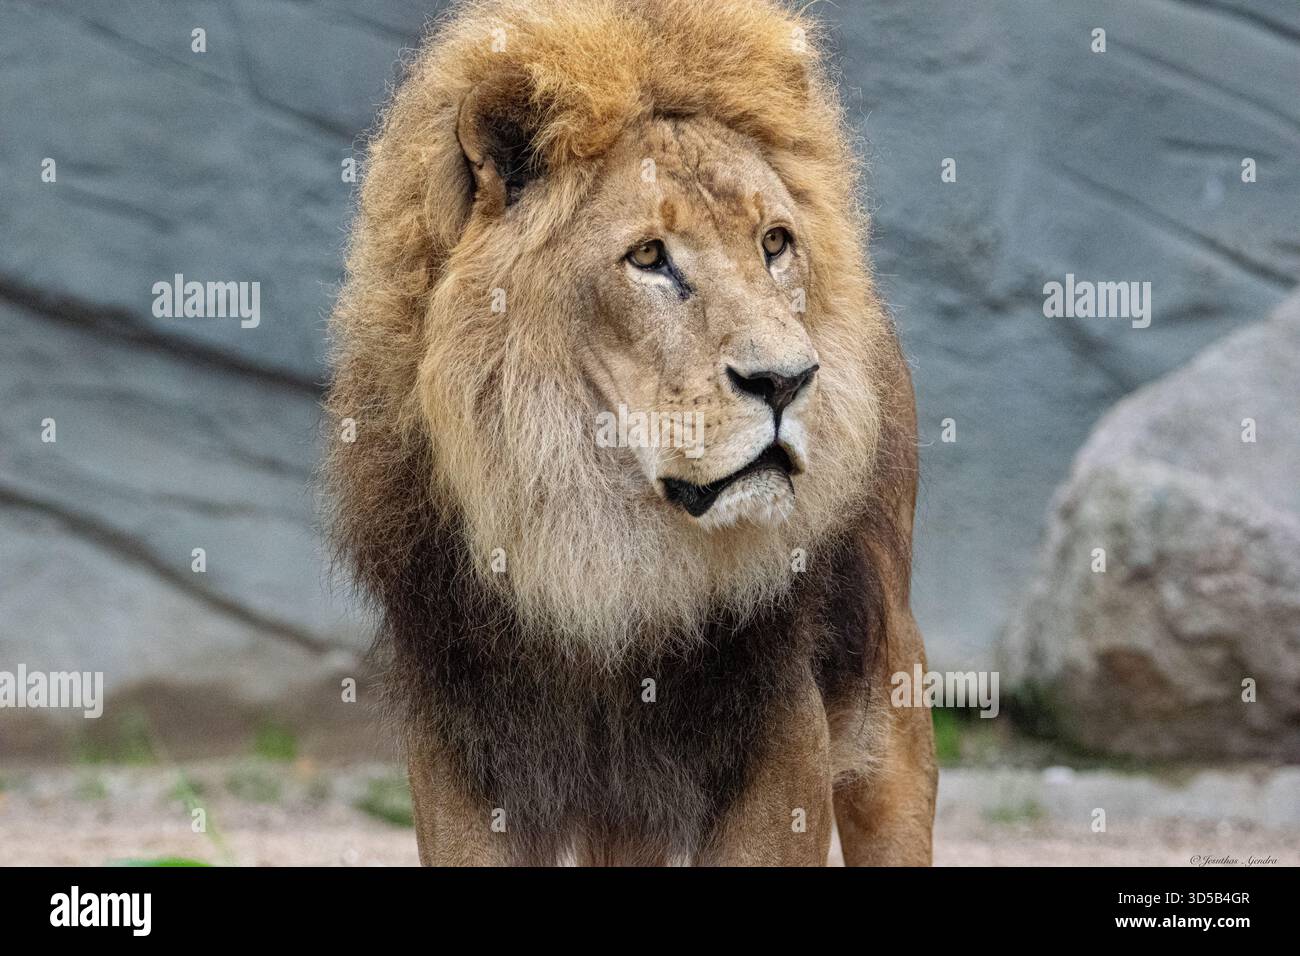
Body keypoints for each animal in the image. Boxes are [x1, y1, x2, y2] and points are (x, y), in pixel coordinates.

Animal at [326, 0, 936, 865]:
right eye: (650, 256)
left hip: (886, 693)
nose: (789, 380)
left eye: (774, 243)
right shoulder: (463, 743)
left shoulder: (777, 736)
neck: (603, 555)